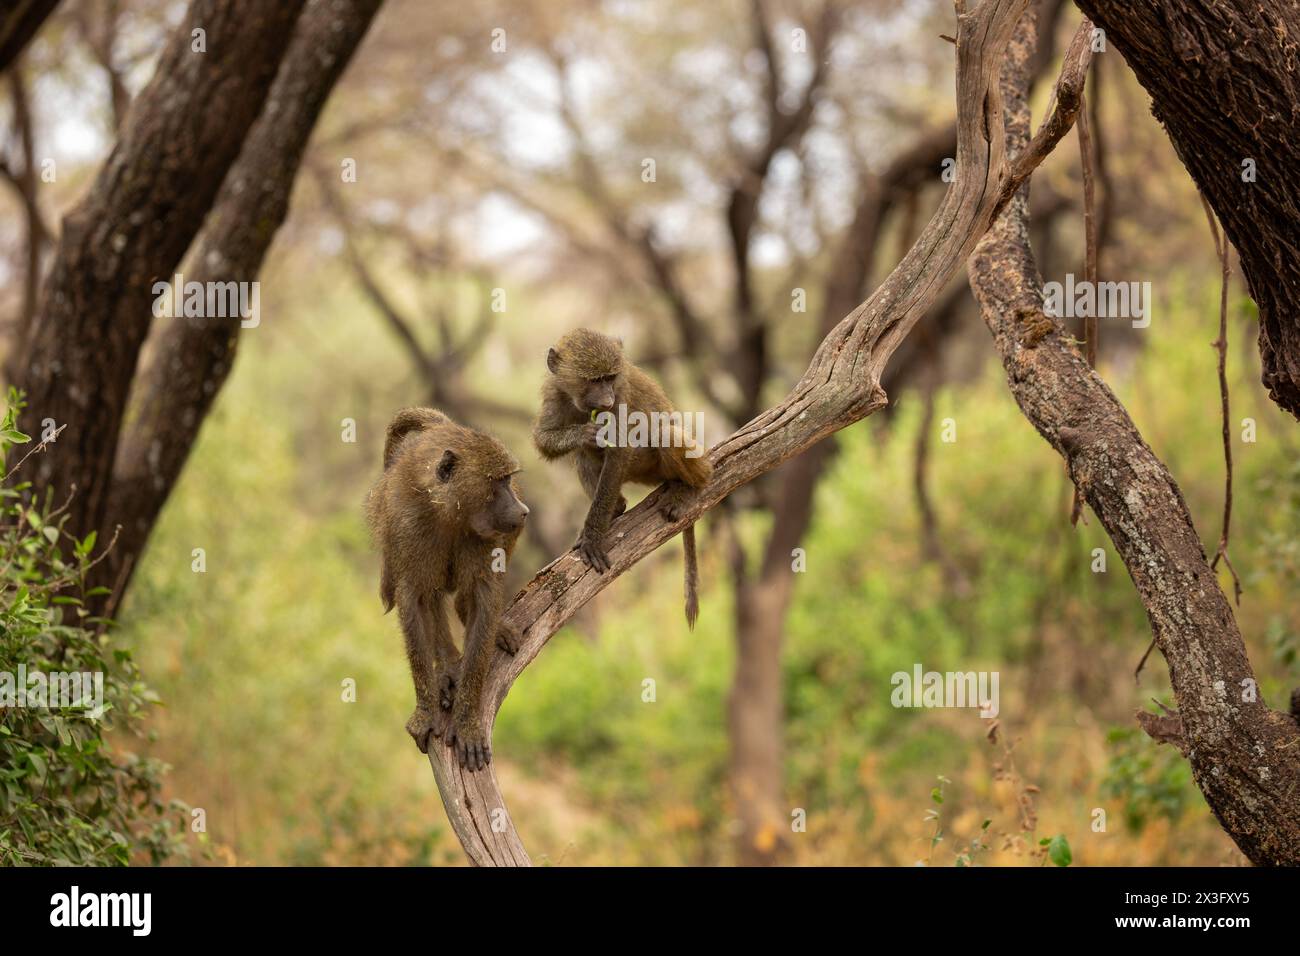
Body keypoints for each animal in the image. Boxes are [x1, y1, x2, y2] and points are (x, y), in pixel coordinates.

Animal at [365, 407, 529, 771]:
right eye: (497, 482)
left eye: (508, 480)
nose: (523, 510)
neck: (451, 513)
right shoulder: (408, 530)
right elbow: (414, 600)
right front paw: (426, 712)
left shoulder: (487, 538)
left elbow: (482, 600)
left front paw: (467, 722)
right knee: (432, 597)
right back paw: (448, 667)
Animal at [532, 328, 711, 626]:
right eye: (594, 380)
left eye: (610, 378)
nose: (607, 401)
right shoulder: (555, 392)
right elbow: (543, 439)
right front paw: (585, 433)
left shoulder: (622, 394)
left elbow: (619, 451)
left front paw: (593, 538)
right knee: (583, 454)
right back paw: (616, 508)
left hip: (663, 465)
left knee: (666, 433)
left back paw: (691, 488)